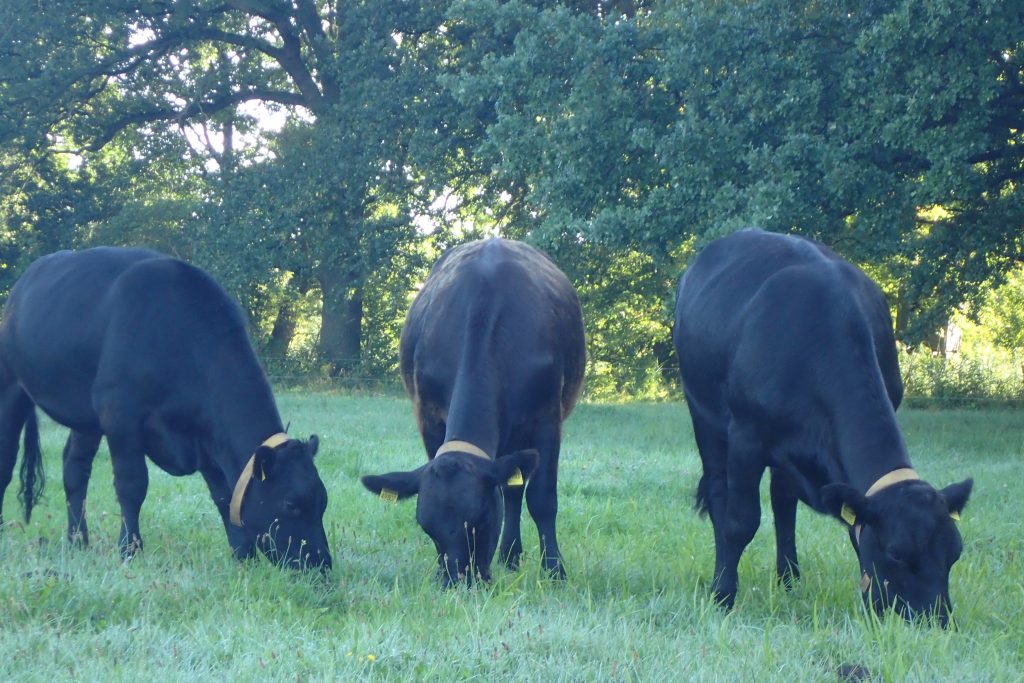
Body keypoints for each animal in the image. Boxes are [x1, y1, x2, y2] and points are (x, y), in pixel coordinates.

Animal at [0, 247, 331, 571]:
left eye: (323, 502)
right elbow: (133, 484)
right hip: (12, 387)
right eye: (291, 504)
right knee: (7, 463)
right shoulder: (120, 414)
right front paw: (130, 550)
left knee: (74, 469)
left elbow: (224, 494)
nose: (320, 563)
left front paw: (242, 554)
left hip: (86, 418)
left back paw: (77, 540)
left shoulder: (206, 434)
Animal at [361, 238, 585, 586]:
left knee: (516, 490)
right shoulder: (428, 417)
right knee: (512, 489)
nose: (458, 580)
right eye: (427, 528)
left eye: (481, 519)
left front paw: (555, 571)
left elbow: (542, 499)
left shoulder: (547, 418)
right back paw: (510, 556)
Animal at [673, 229, 972, 626]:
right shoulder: (746, 437)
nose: (935, 621)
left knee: (783, 501)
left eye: (955, 551)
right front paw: (722, 596)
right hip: (703, 412)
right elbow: (740, 521)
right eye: (896, 553)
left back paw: (789, 581)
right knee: (720, 494)